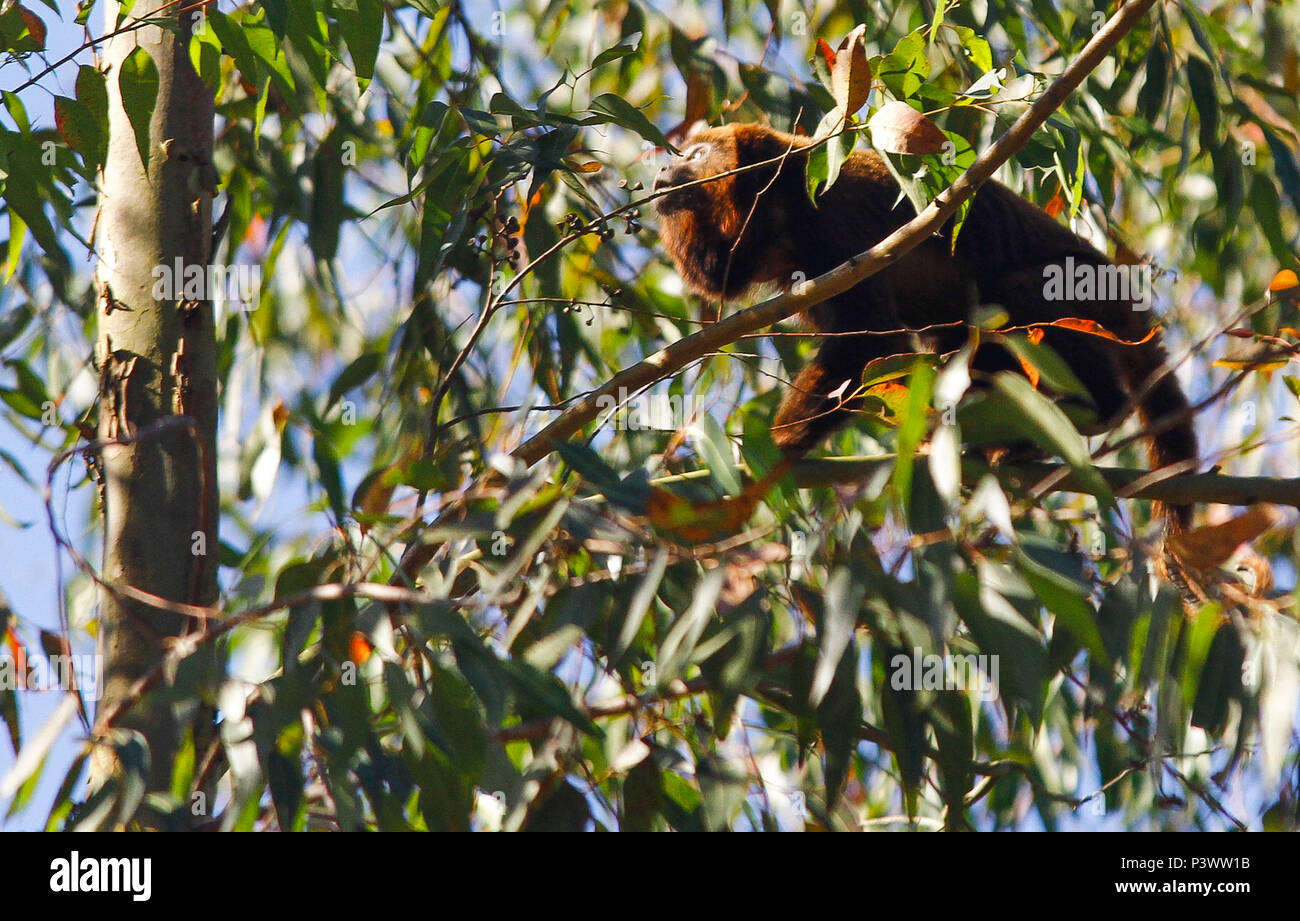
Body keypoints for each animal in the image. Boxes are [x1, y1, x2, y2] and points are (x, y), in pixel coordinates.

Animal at [653, 122, 1197, 533]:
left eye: (696, 154)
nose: (661, 167)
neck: (781, 211)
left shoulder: (834, 219)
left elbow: (865, 342)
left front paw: (775, 449)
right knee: (965, 337)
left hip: (1085, 295)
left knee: (1023, 293)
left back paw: (1095, 407)